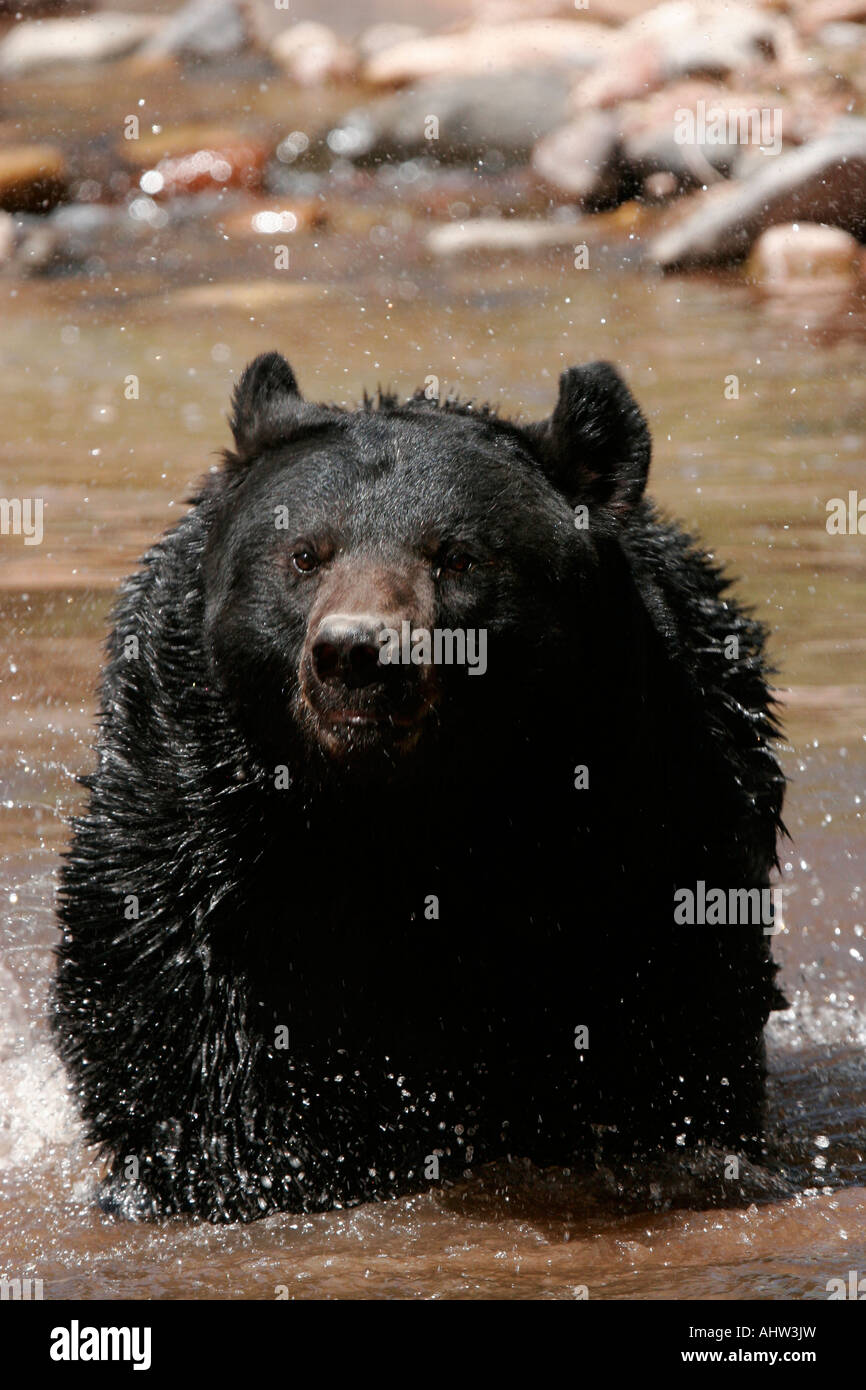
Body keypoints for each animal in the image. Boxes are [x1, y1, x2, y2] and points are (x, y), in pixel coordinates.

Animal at [54, 352, 786, 1222]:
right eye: (306, 554)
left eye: (457, 556)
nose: (358, 655)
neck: (403, 804)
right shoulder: (195, 797)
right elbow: (171, 989)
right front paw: (220, 1171)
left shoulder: (644, 797)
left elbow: (667, 999)